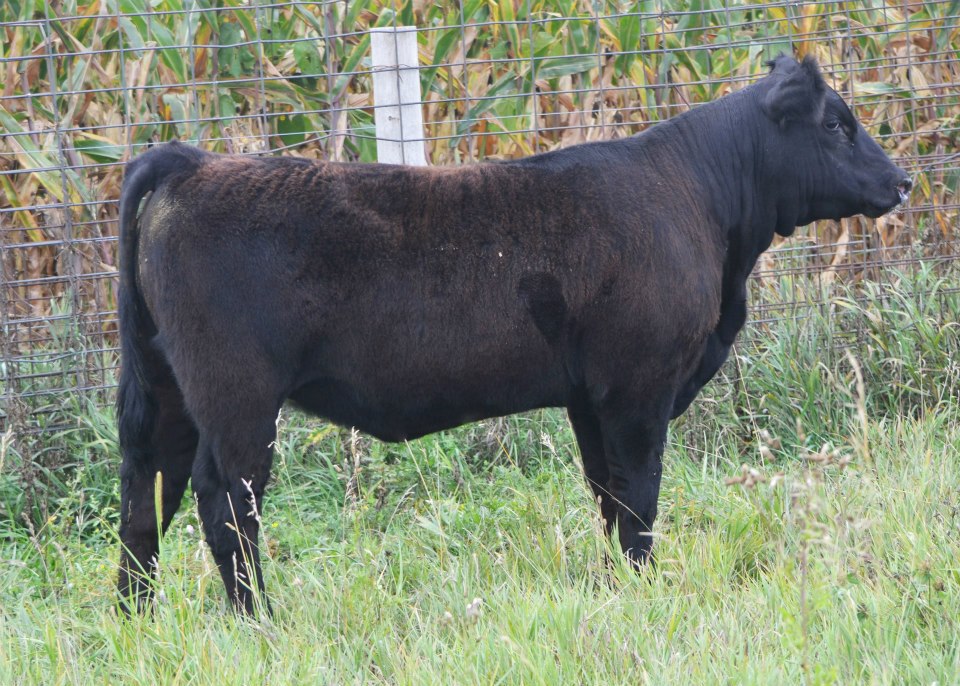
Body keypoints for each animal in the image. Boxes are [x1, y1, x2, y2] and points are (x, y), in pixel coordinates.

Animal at [115, 55, 910, 614]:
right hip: (237, 398)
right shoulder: (637, 389)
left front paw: (613, 586)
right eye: (835, 125)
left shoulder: (589, 397)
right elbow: (639, 496)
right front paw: (642, 587)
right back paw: (259, 618)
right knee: (225, 499)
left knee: (147, 489)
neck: (701, 201)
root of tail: (194, 162)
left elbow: (607, 494)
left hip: (167, 389)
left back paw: (137, 614)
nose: (902, 181)